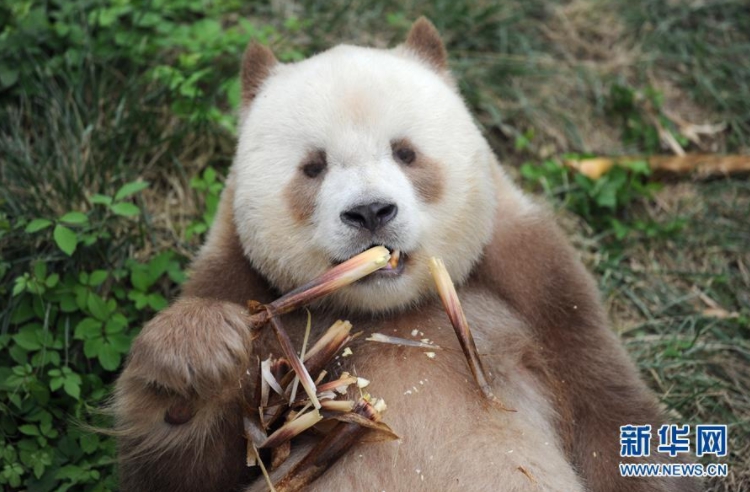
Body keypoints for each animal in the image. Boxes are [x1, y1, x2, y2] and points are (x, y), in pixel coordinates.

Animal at [114, 17, 699, 492]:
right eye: (313, 167)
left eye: (406, 152)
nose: (371, 212)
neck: (392, 312)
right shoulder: (239, 282)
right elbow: (191, 470)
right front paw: (197, 355)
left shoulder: (540, 288)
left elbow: (610, 416)